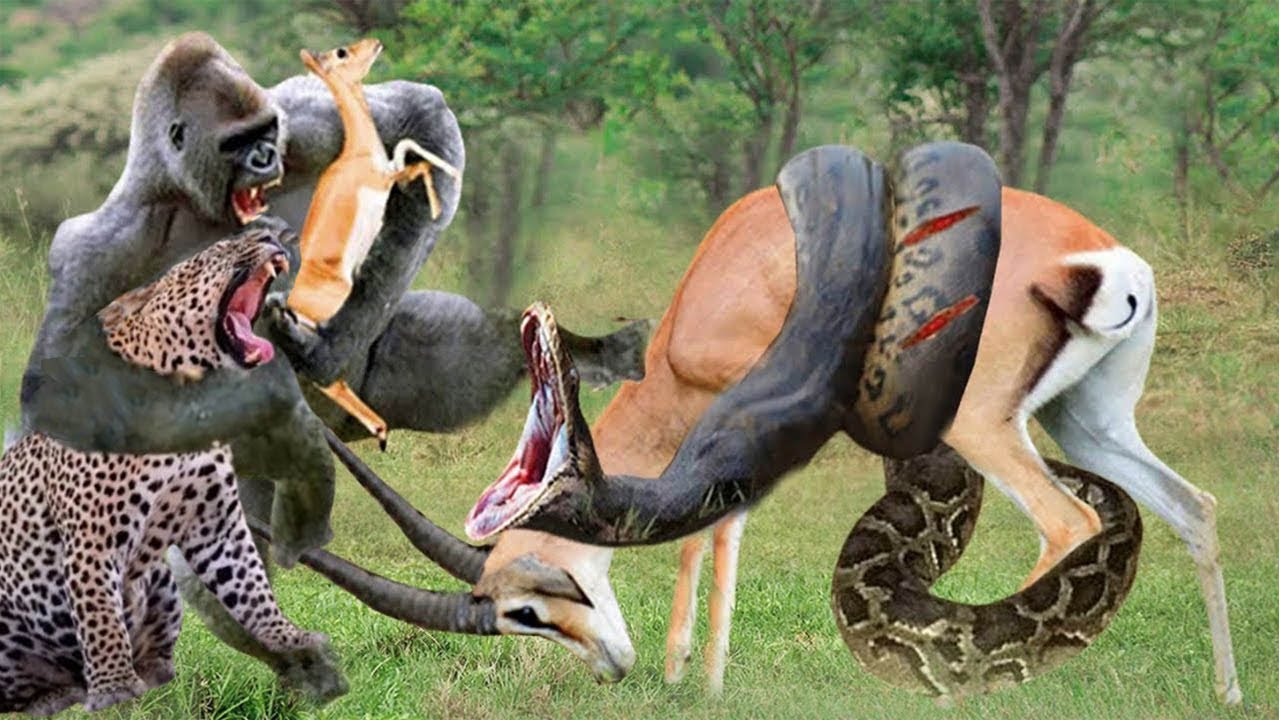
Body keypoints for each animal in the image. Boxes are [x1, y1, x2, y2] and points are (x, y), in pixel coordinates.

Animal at [0, 226, 330, 716]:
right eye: (218, 249)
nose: (272, 234)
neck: (189, 404)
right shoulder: (91, 538)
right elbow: (100, 618)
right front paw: (115, 687)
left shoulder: (217, 524)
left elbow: (251, 584)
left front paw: (291, 638)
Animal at [284, 38, 461, 447]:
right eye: (341, 52)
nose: (375, 42)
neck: (359, 150)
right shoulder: (386, 177)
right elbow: (415, 158)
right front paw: (442, 193)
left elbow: (411, 150)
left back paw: (378, 429)